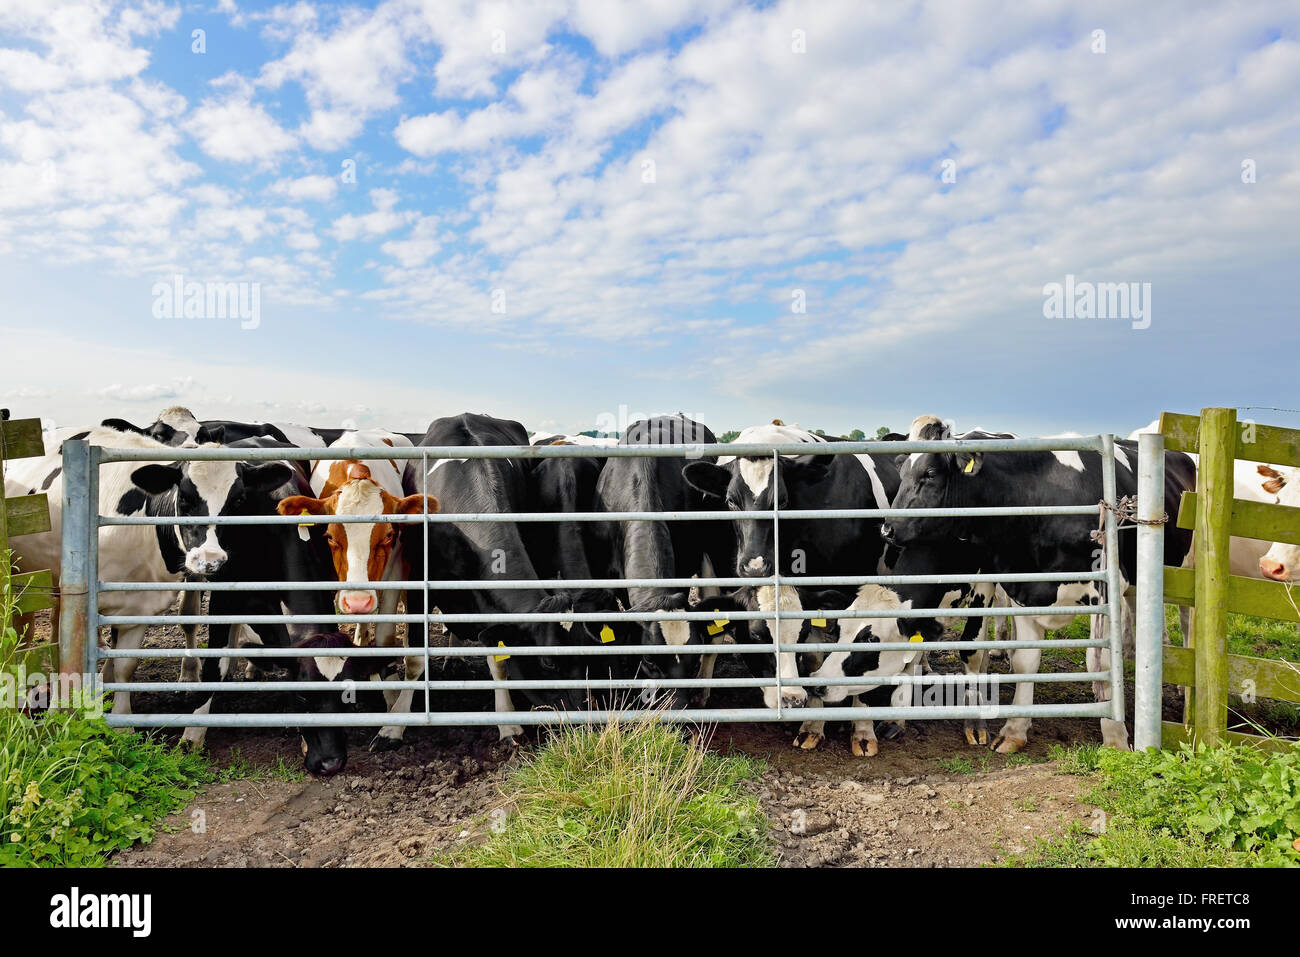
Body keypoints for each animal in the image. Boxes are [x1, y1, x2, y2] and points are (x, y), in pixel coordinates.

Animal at [879, 415, 1196, 752]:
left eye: (930, 473)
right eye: (901, 472)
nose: (887, 528)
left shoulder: (1103, 590)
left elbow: (1099, 664)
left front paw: (1115, 738)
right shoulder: (1023, 586)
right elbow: (1025, 661)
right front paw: (1014, 730)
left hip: (1186, 569)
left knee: (1188, 620)